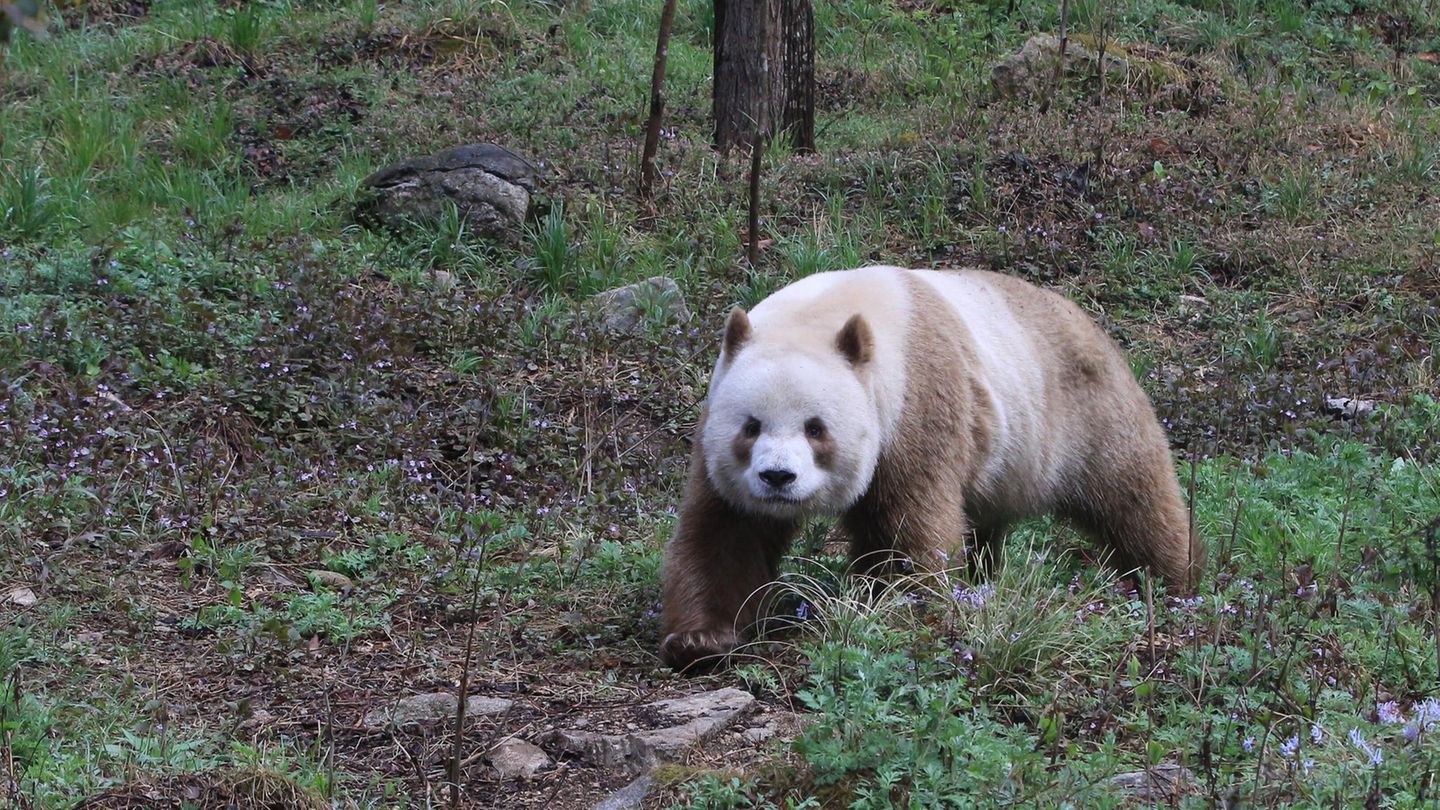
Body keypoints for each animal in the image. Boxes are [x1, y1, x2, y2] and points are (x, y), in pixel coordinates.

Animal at [659, 265, 1202, 671]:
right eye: (751, 427)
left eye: (816, 429)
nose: (777, 478)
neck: (825, 315)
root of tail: (1084, 316)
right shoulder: (716, 431)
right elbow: (726, 531)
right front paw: (701, 641)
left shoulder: (914, 403)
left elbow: (909, 527)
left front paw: (898, 610)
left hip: (1080, 412)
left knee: (1132, 495)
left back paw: (1175, 582)